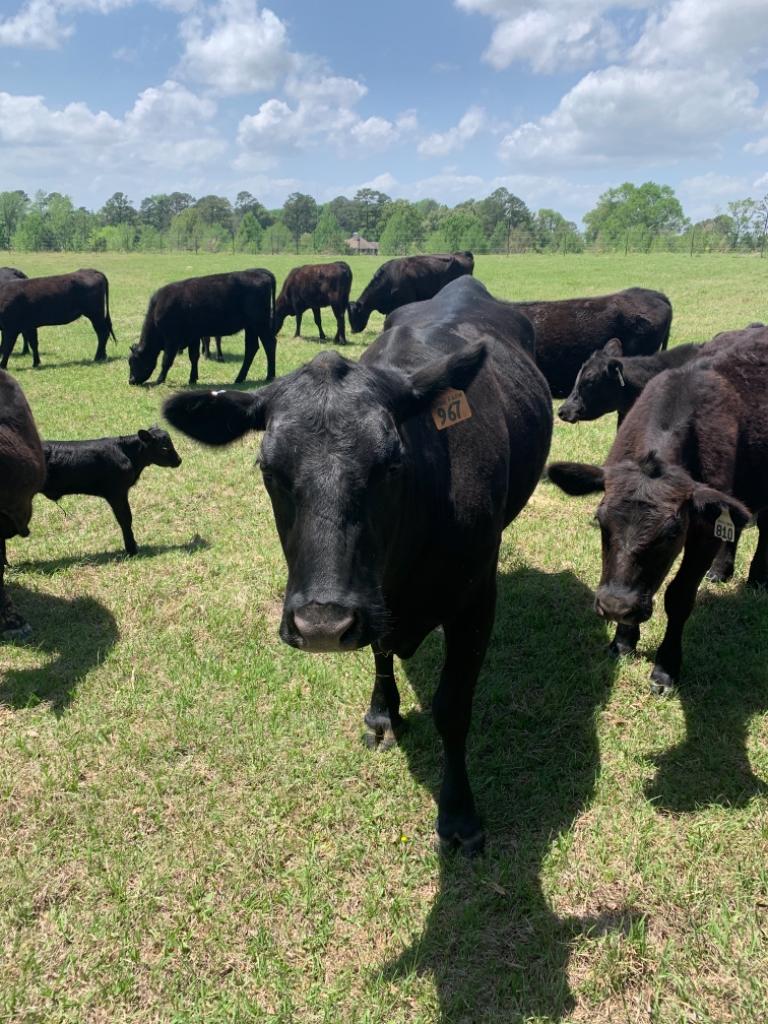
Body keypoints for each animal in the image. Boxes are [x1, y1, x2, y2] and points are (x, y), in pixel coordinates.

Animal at [41, 427, 182, 556]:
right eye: (164, 447)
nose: (179, 460)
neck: (126, 453)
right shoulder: (117, 493)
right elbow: (125, 519)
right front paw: (132, 550)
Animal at [129, 270, 277, 386]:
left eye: (134, 361)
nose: (131, 380)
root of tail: (260, 273)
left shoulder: (172, 340)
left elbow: (167, 360)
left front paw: (159, 380)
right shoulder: (193, 337)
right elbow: (194, 356)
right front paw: (193, 378)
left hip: (260, 324)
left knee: (269, 344)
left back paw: (269, 376)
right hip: (251, 327)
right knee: (251, 348)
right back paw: (239, 378)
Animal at [163, 276, 552, 854]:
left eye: (391, 463)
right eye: (268, 468)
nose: (322, 625)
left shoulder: (475, 599)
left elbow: (452, 708)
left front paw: (459, 814)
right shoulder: (373, 605)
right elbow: (380, 651)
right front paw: (382, 713)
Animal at [547, 332, 768, 696]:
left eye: (672, 533)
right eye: (599, 521)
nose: (616, 606)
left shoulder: (703, 532)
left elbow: (679, 597)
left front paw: (665, 668)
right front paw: (622, 641)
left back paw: (757, 579)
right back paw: (721, 571)